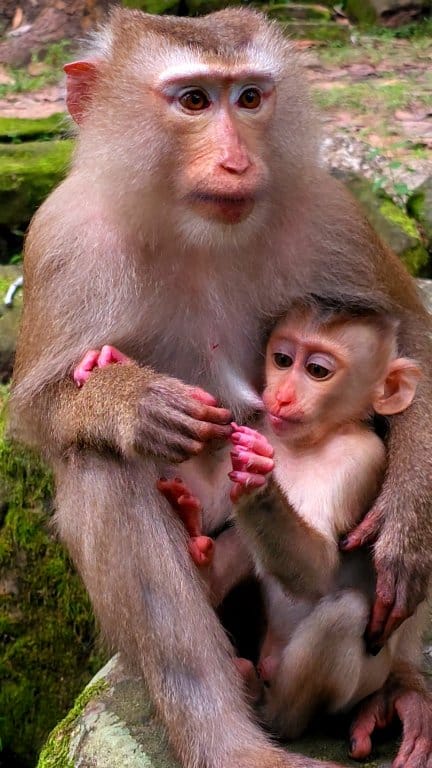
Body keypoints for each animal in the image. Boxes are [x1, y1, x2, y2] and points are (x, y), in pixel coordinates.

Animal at [9, 8, 432, 768]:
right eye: (194, 101)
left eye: (250, 98)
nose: (238, 161)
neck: (194, 225)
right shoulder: (61, 241)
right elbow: (37, 410)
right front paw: (131, 403)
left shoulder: (328, 207)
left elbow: (413, 338)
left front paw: (407, 520)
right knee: (100, 468)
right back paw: (226, 733)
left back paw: (400, 690)